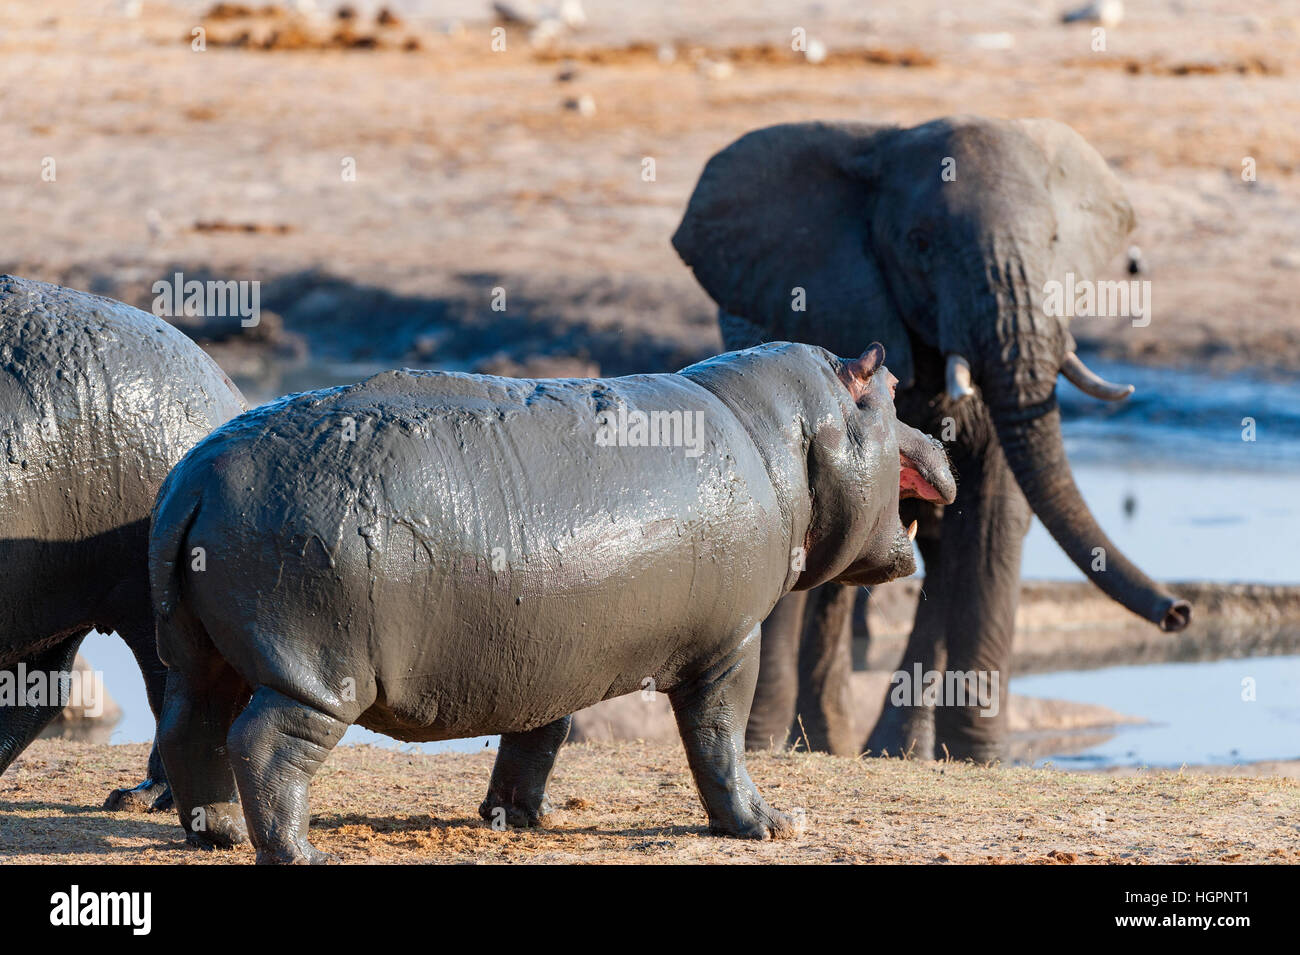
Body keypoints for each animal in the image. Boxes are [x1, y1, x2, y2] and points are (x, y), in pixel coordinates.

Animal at [0, 275, 246, 809]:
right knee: (39, 694)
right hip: (51, 603)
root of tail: (225, 390)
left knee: (174, 689)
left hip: (143, 601)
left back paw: (144, 797)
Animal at [147, 341, 954, 863]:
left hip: (199, 652)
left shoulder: (548, 653)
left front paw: (518, 818)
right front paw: (772, 824)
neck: (784, 437)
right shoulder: (730, 645)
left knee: (189, 722)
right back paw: (302, 854)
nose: (940, 438)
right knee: (264, 745)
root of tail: (198, 478)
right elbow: (719, 739)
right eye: (890, 394)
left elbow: (537, 737)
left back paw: (217, 832)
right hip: (317, 673)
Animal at [672, 116, 1192, 761]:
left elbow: (993, 517)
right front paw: (763, 743)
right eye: (920, 244)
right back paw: (815, 741)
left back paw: (880, 748)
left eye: (1053, 240)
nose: (1179, 613)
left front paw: (980, 760)